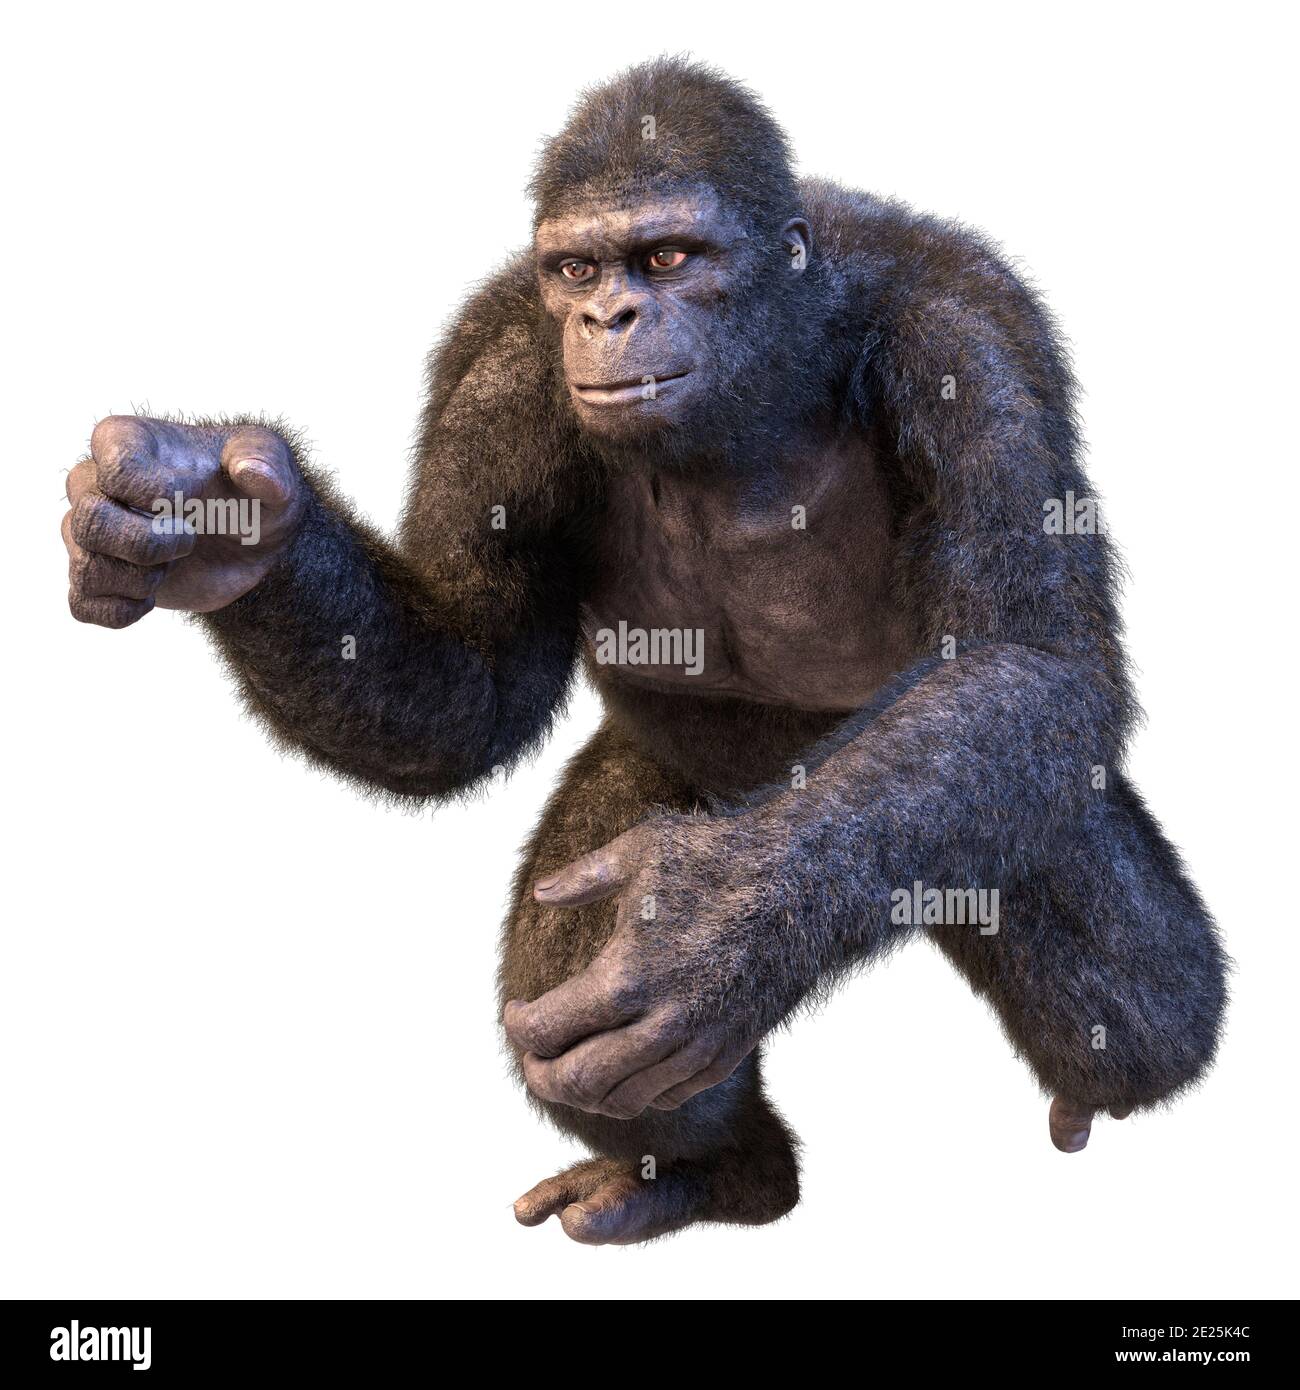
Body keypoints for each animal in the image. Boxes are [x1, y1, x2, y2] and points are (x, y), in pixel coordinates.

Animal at [62, 57, 1227, 1246]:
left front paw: (711, 930)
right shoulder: (499, 379)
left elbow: (1026, 656)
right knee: (559, 988)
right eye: (578, 267)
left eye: (668, 257)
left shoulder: (968, 343)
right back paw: (716, 1173)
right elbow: (470, 681)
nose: (607, 313)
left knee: (1148, 1009)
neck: (768, 370)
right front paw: (234, 536)